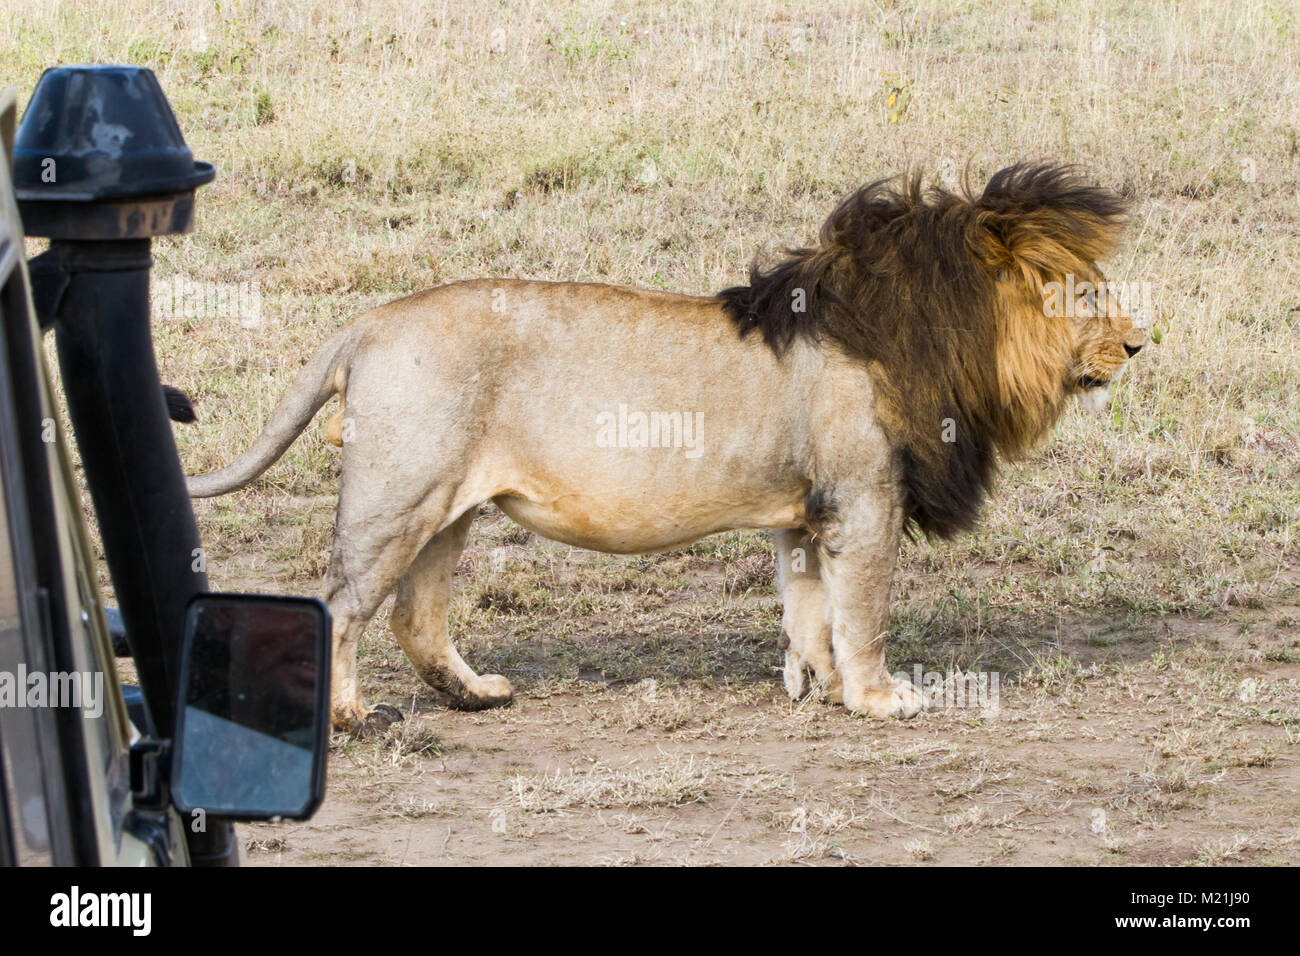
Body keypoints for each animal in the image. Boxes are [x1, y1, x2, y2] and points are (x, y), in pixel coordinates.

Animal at [186, 163, 1145, 734]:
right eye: (1086, 295)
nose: (1140, 345)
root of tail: (368, 324)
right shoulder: (865, 498)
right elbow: (864, 611)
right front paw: (881, 698)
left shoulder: (807, 514)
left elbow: (812, 612)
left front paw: (827, 687)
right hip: (398, 497)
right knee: (342, 605)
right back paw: (345, 717)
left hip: (447, 507)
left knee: (415, 616)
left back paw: (475, 694)